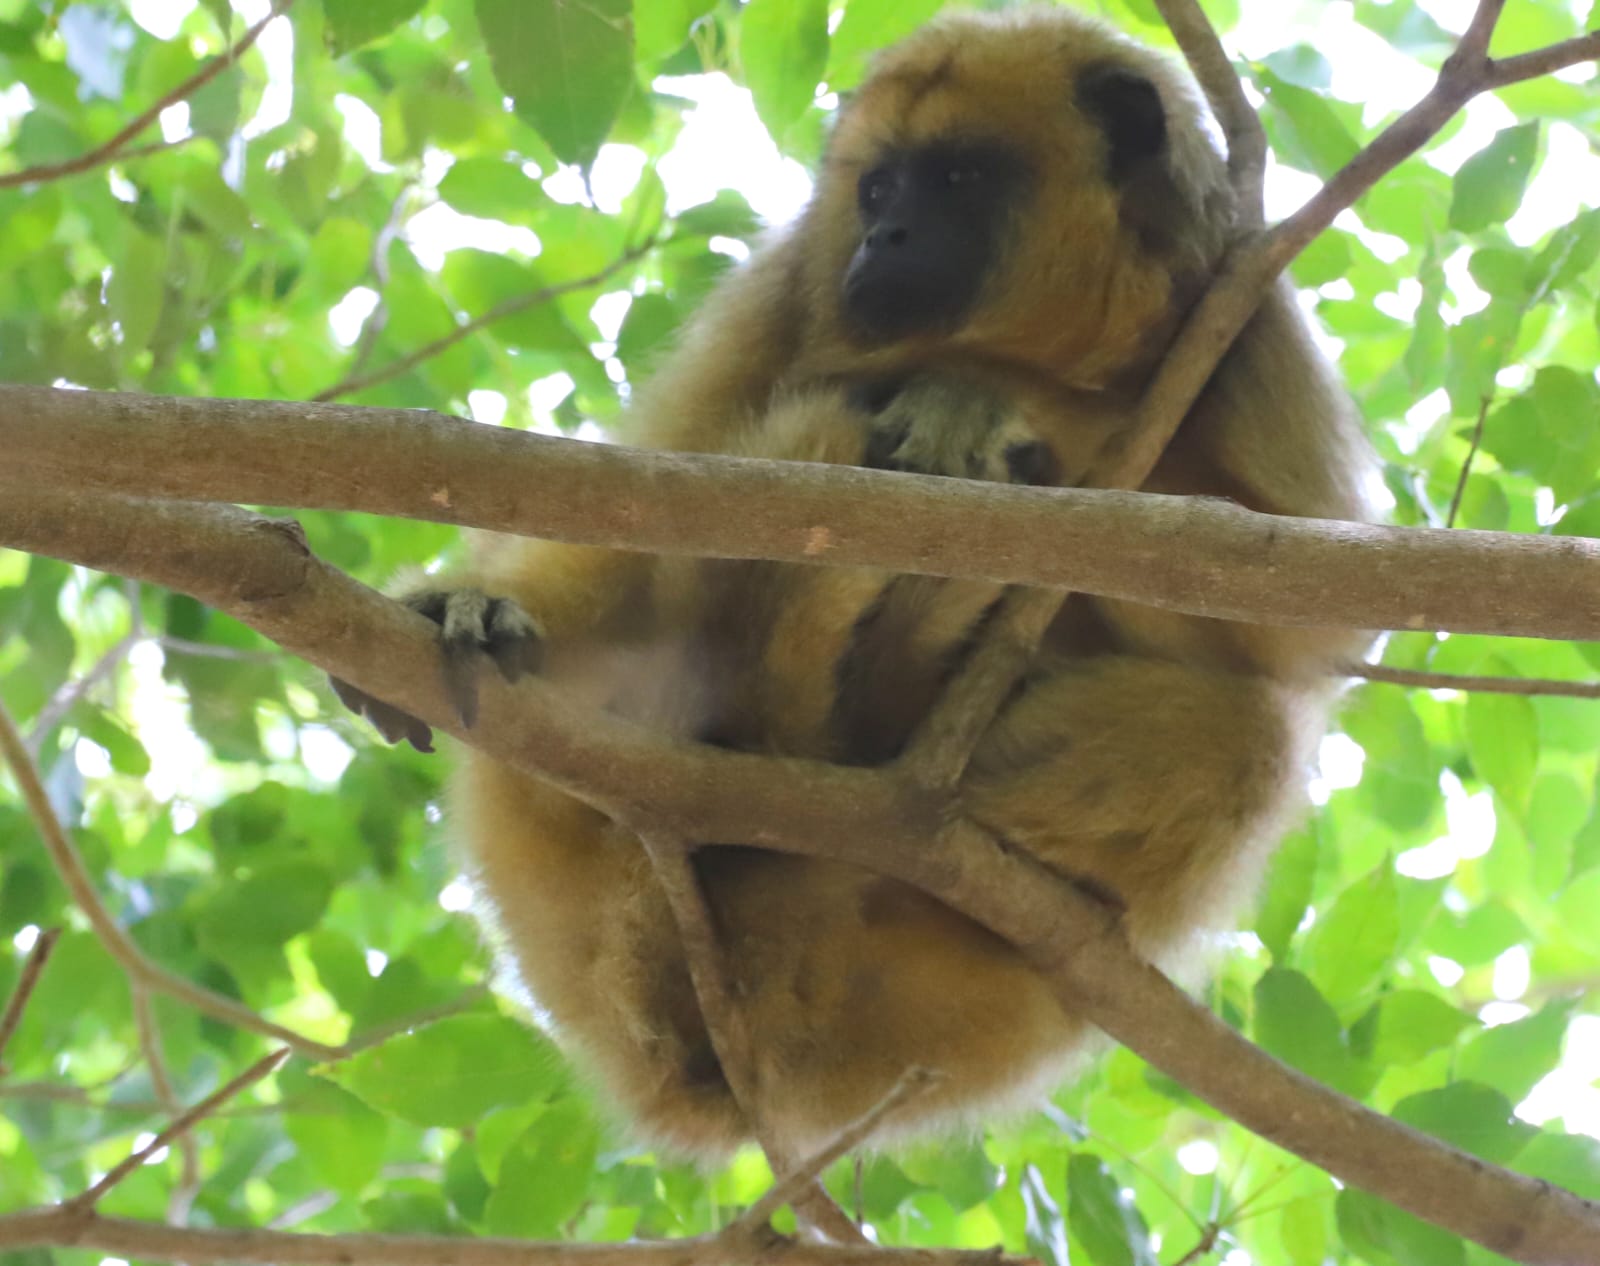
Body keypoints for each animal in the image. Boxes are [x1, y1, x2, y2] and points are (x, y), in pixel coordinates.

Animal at [334, 5, 1377, 1160]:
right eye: (879, 190)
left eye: (961, 177)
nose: (885, 241)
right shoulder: (788, 285)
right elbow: (644, 496)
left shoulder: (1242, 313)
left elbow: (1293, 626)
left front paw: (991, 399)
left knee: (1248, 738)